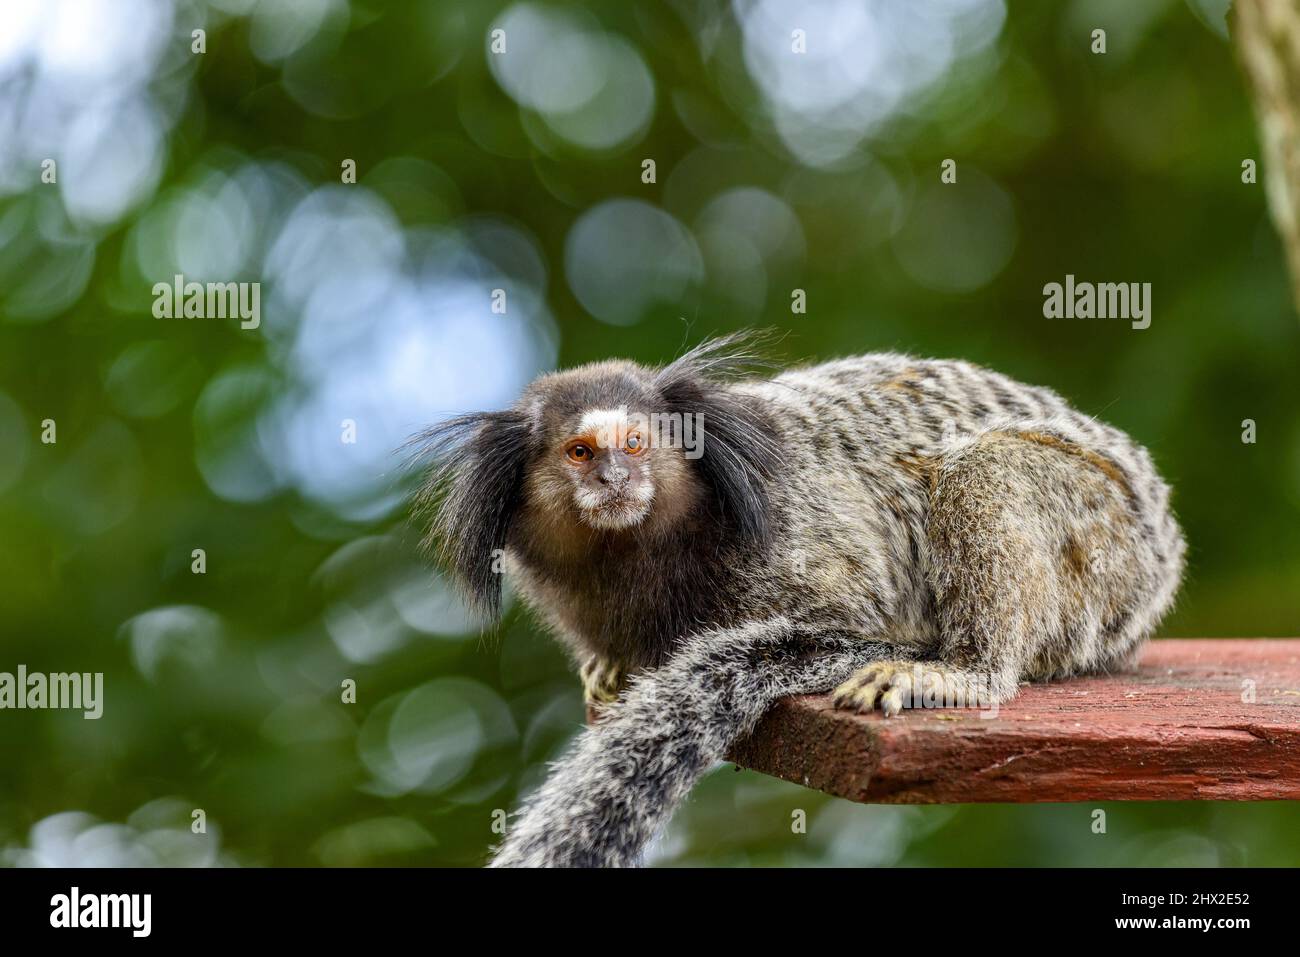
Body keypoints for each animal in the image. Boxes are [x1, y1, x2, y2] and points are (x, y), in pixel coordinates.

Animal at [414, 333, 1186, 867]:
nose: (614, 478)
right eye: (580, 452)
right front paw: (607, 670)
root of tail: (1164, 547)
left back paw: (965, 669)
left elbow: (831, 635)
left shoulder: (800, 548)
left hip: (1105, 538)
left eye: (634, 443)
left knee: (986, 468)